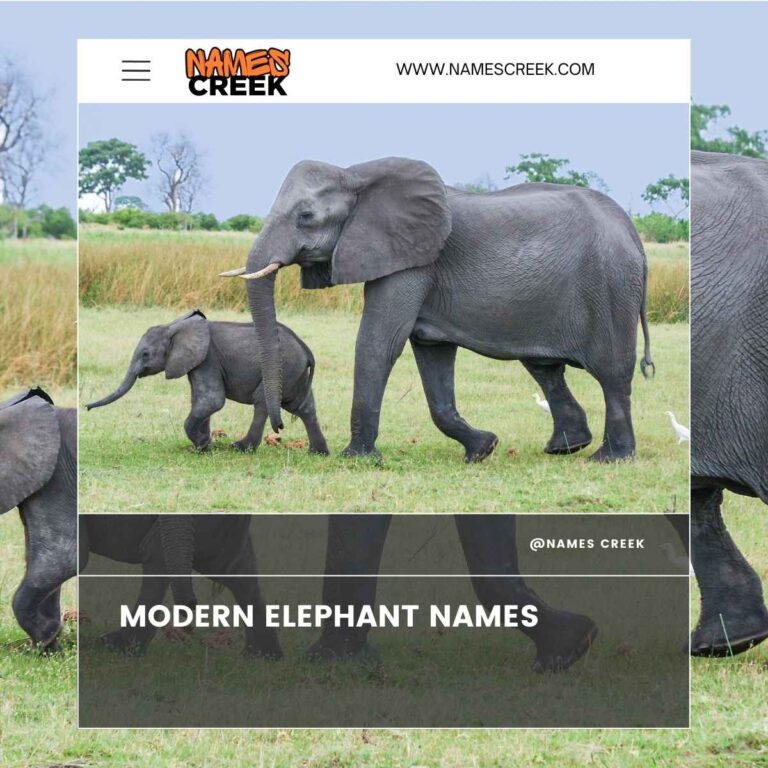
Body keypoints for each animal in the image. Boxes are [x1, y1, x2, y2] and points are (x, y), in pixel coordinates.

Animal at [86, 308, 328, 455]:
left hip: (283, 368)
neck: (175, 327)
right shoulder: (197, 362)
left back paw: (241, 447)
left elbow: (212, 400)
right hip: (294, 374)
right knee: (304, 407)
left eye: (145, 354)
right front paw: (204, 445)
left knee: (263, 403)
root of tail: (306, 350)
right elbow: (201, 401)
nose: (86, 407)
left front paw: (201, 446)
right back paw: (318, 453)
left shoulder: (208, 358)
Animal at [223, 157, 653, 464]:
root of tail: (632, 232)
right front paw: (483, 449)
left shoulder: (412, 262)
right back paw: (564, 448)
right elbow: (431, 357)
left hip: (611, 288)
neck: (357, 174)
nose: (280, 426)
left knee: (612, 374)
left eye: (306, 217)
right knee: (545, 369)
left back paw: (609, 459)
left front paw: (358, 458)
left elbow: (380, 343)